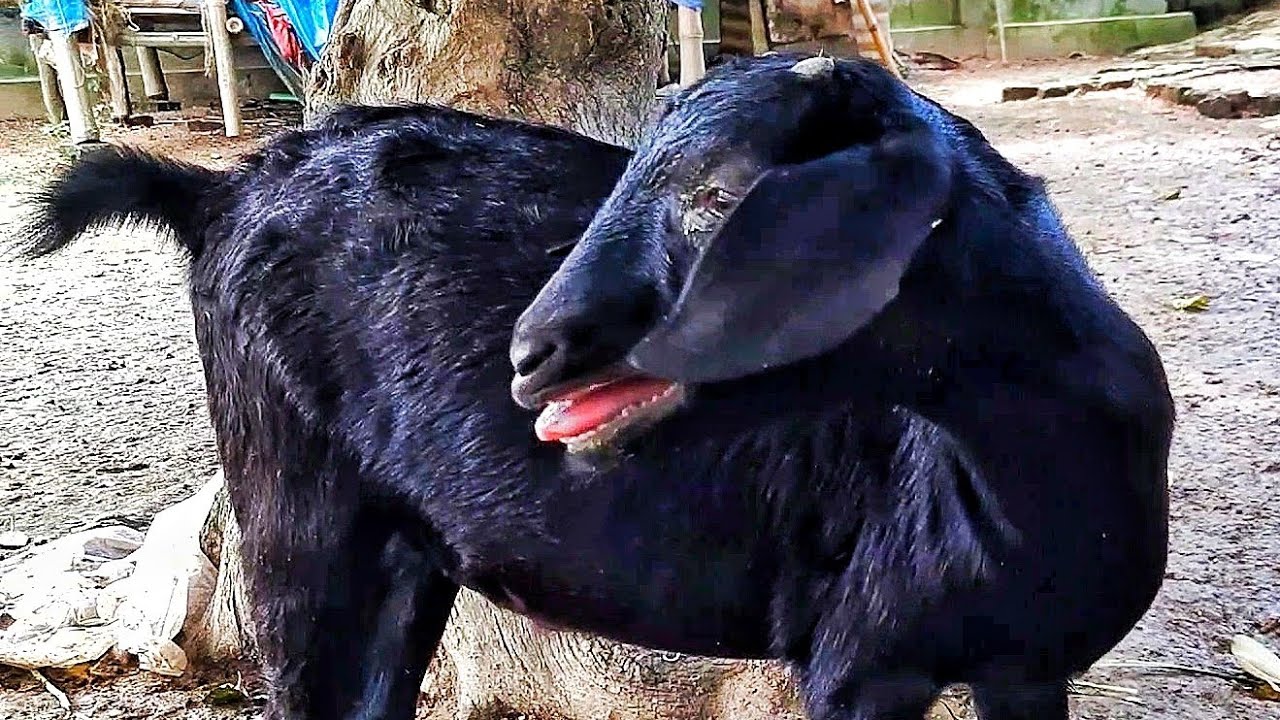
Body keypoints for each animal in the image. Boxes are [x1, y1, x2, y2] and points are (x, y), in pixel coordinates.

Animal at [17, 53, 1172, 720]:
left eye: (722, 195)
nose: (529, 354)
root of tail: (214, 191)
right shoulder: (859, 660)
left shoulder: (1026, 668)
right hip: (291, 498)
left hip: (404, 544)